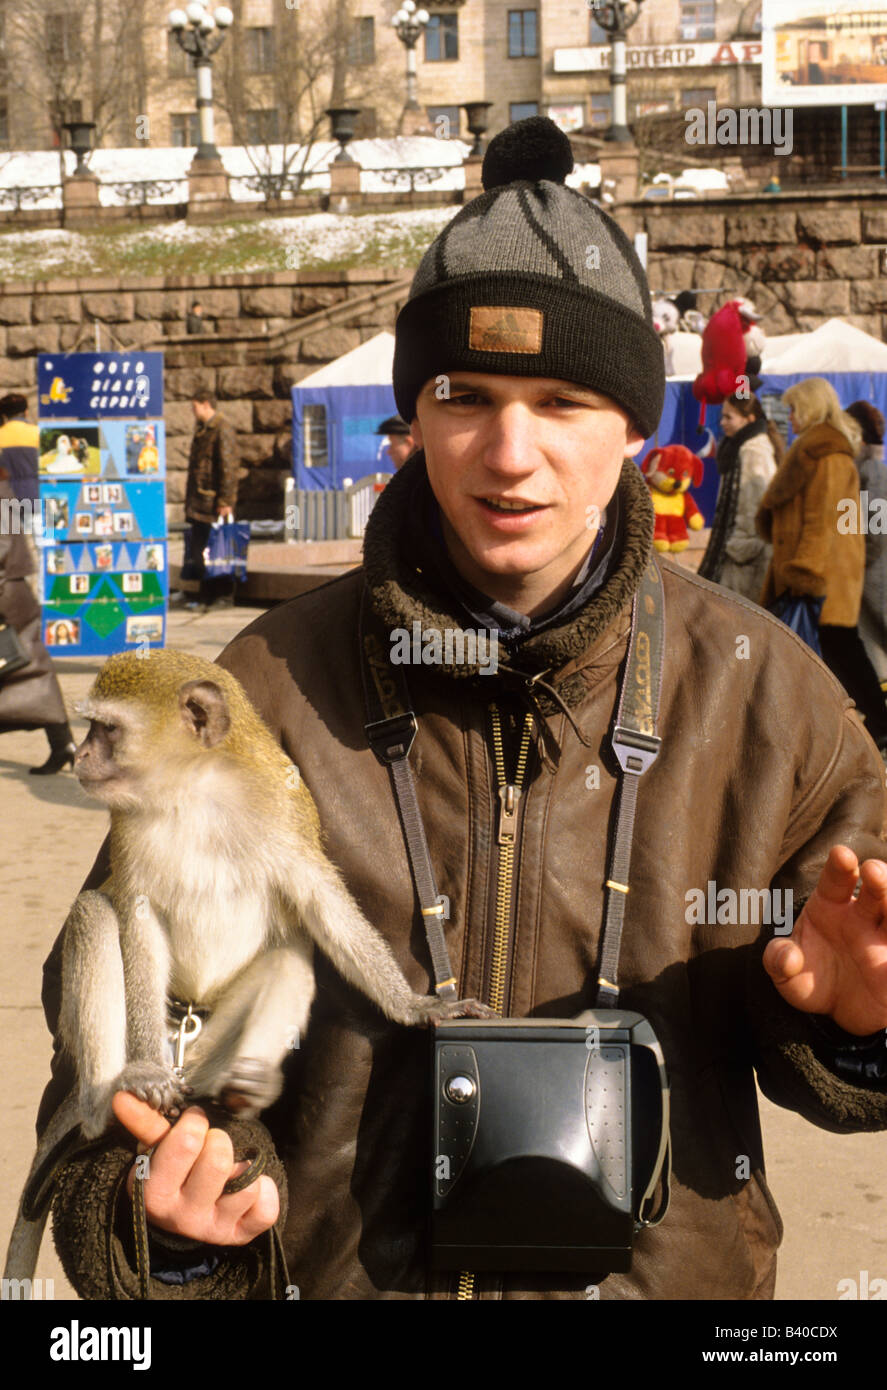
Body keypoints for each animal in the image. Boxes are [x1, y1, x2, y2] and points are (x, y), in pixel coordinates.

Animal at [4, 649, 490, 1287]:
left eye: (106, 731)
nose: (81, 758)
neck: (194, 791)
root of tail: (188, 1053)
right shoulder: (130, 836)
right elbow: (135, 919)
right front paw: (143, 1072)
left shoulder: (286, 814)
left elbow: (323, 906)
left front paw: (415, 1006)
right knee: (94, 914)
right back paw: (113, 1098)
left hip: (210, 1045)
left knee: (291, 959)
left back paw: (246, 1086)